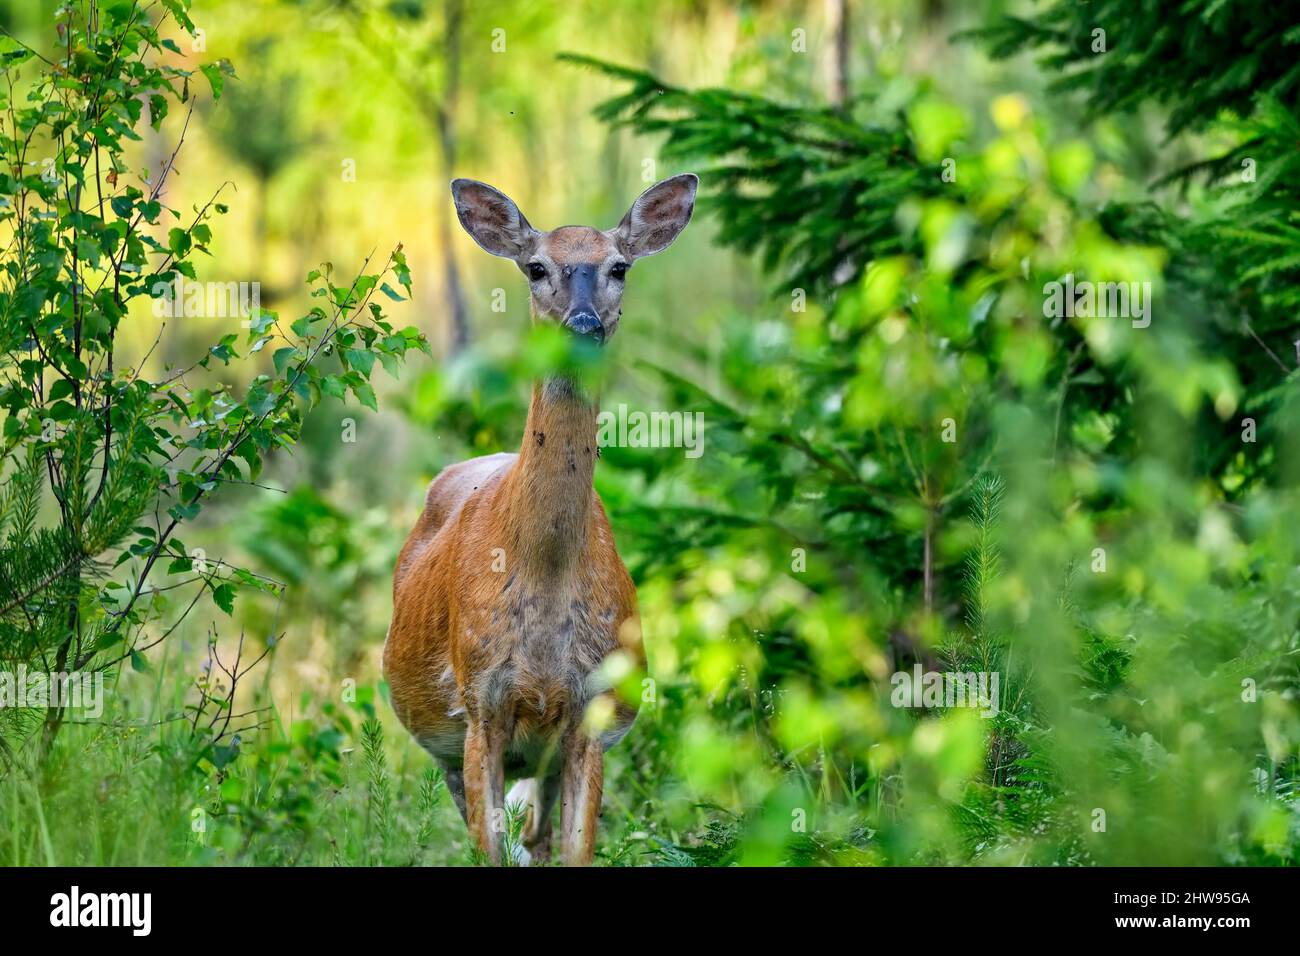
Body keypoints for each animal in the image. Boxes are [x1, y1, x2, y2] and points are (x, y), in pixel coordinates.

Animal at [383, 173, 698, 866]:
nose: (582, 323)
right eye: (536, 267)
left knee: (538, 835)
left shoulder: (591, 711)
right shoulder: (479, 703)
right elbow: (490, 849)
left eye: (619, 266)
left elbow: (575, 849)